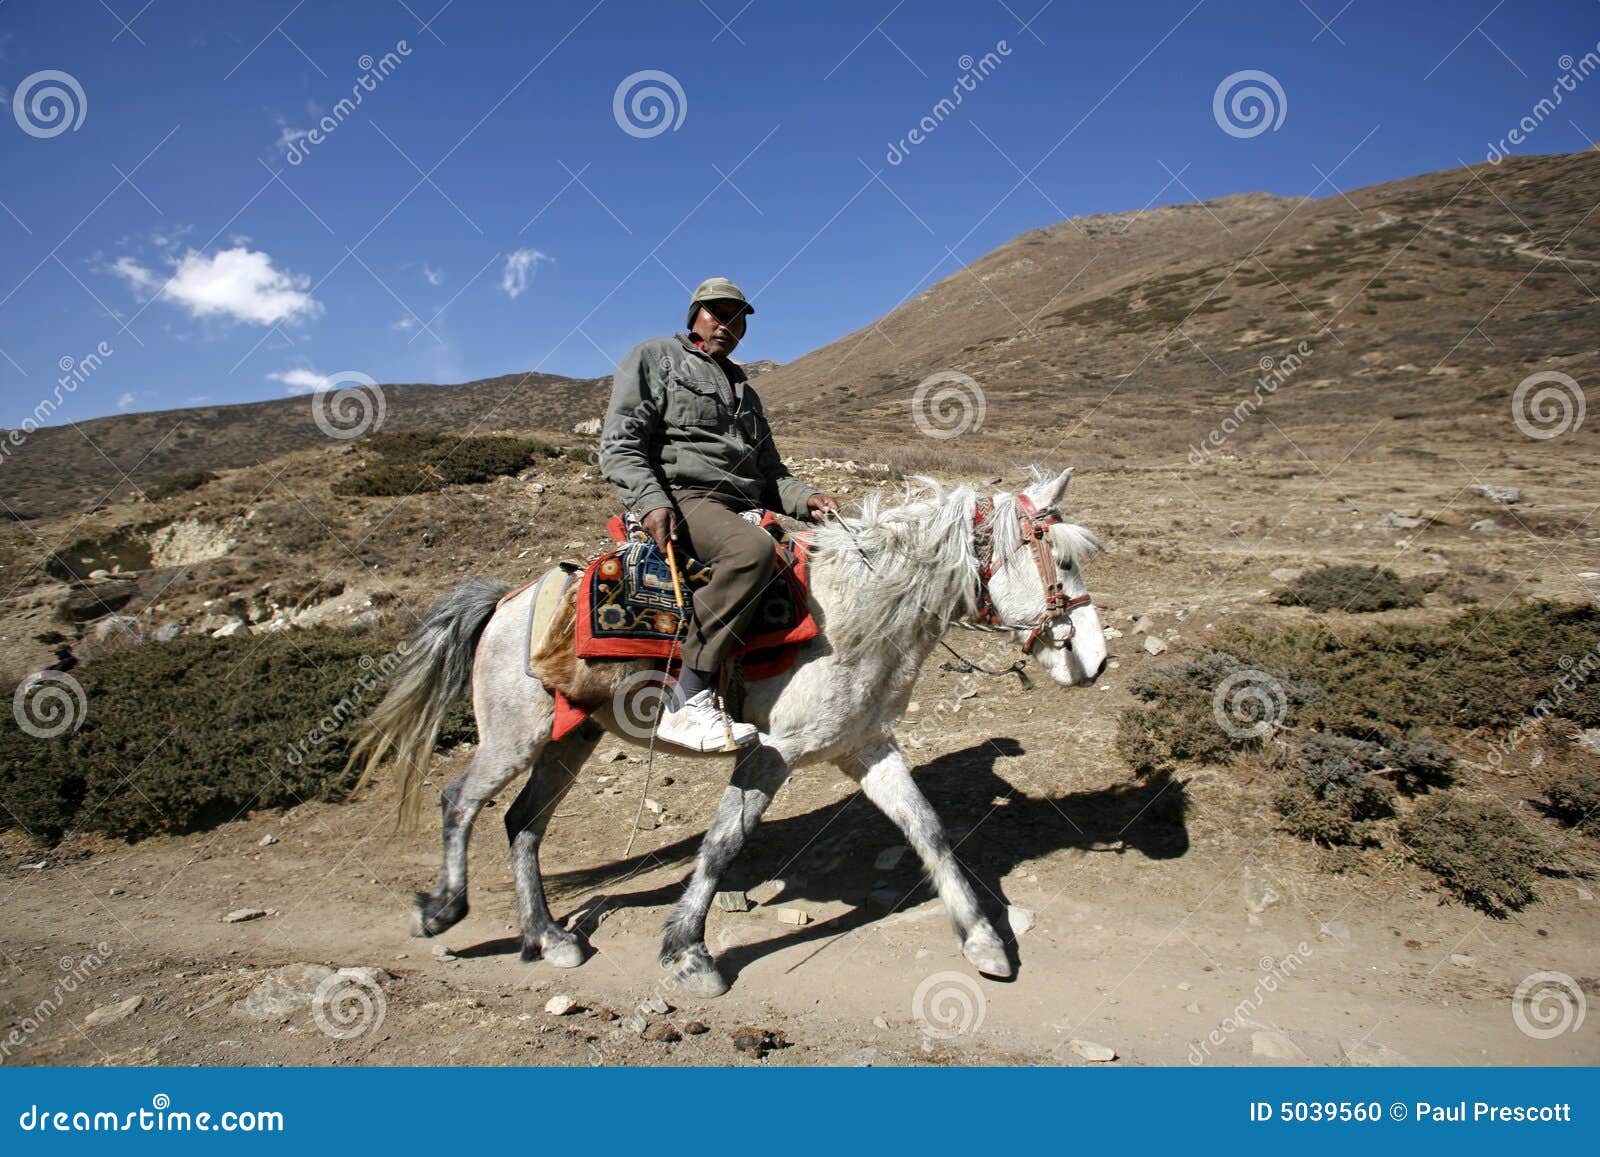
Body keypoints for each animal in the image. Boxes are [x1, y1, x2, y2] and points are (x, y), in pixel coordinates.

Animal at [348, 467, 1107, 997]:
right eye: (1063, 561)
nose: (1095, 662)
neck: (856, 611)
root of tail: (506, 599)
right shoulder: (772, 753)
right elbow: (721, 844)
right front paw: (688, 953)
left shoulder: (866, 747)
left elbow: (927, 828)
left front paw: (983, 941)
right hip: (515, 736)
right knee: (461, 800)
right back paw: (442, 911)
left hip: (570, 739)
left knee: (523, 824)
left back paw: (549, 936)